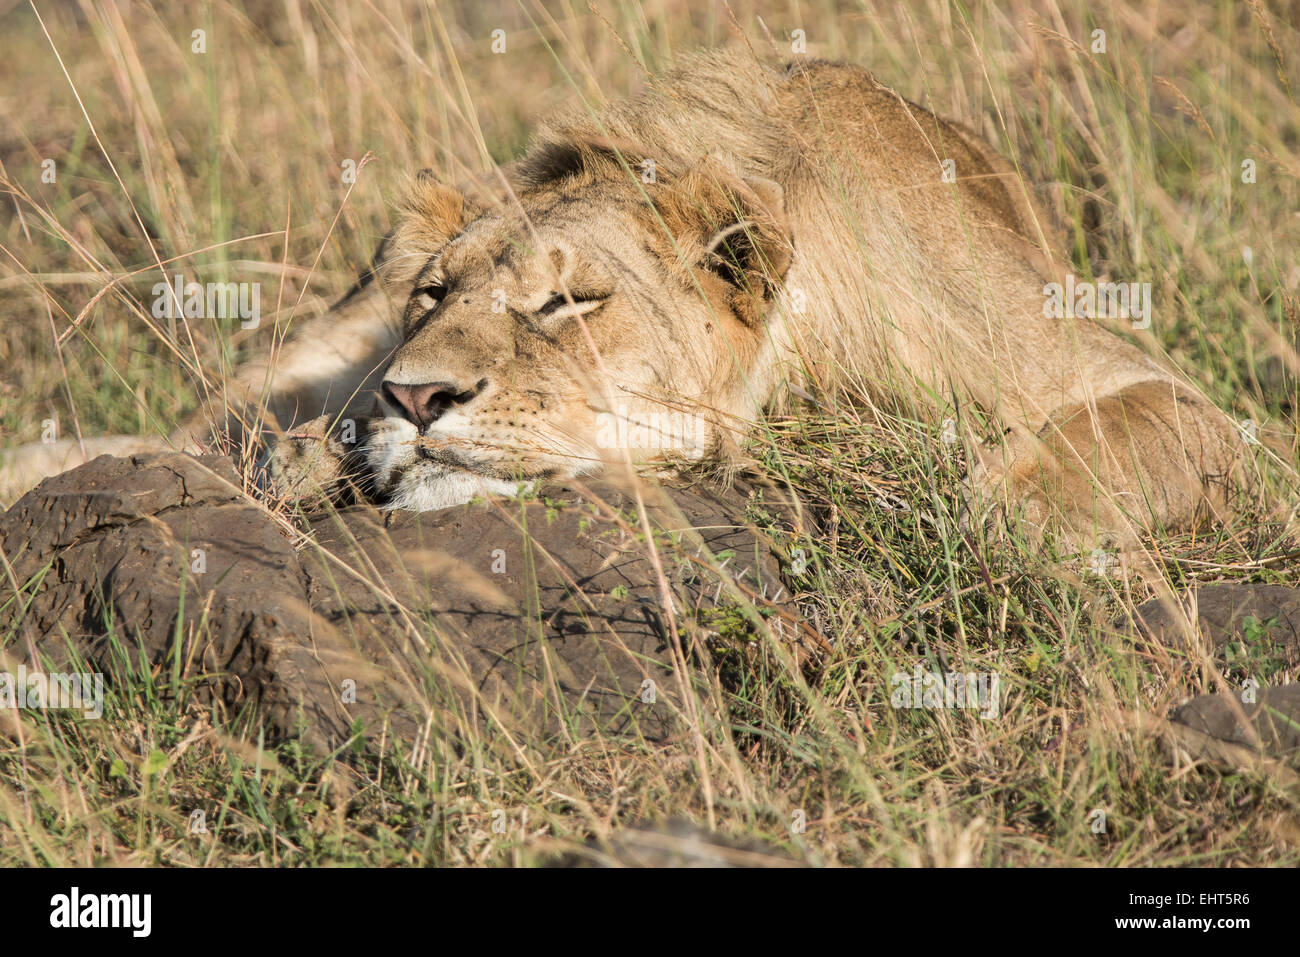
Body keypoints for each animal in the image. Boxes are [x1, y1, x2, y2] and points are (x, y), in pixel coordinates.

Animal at [1, 50, 1244, 550]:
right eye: (434, 295)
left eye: (567, 304)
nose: (413, 399)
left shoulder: (1173, 396)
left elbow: (1123, 430)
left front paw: (1012, 510)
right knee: (193, 437)